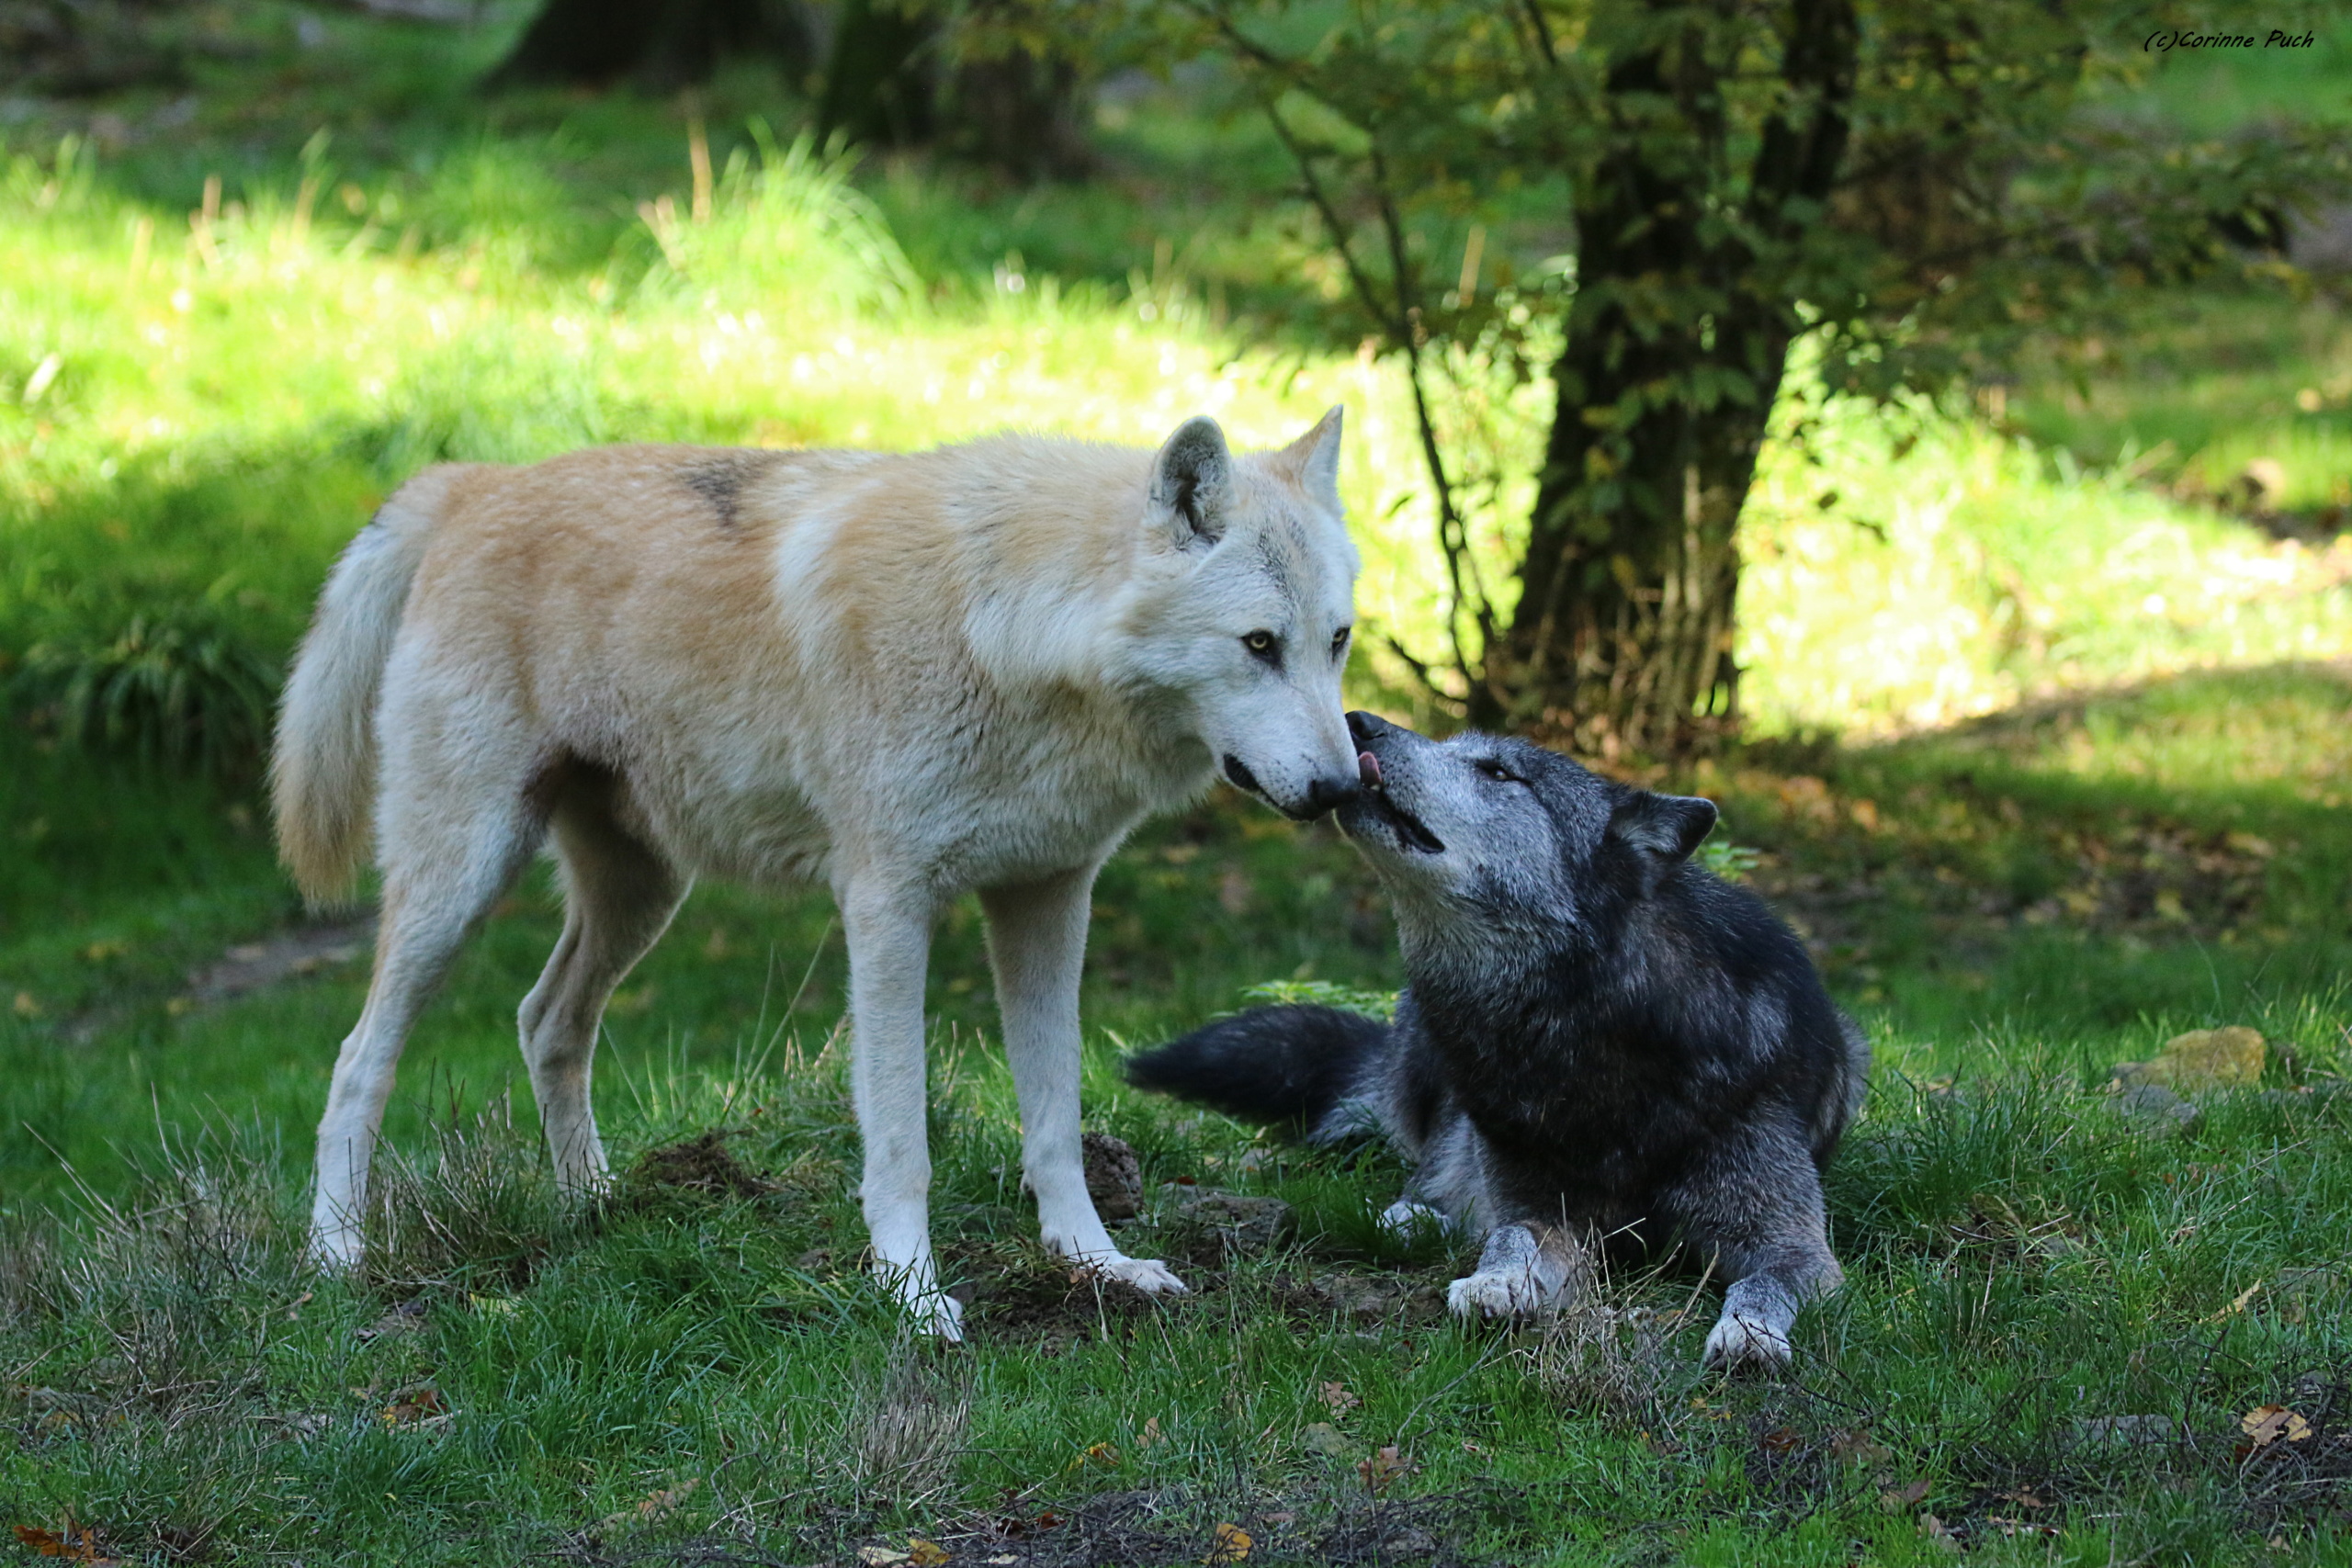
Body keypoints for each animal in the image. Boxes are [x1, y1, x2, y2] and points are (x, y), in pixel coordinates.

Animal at [271, 411, 1363, 1338]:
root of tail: (473, 481)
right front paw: (914, 1298)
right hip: (461, 878)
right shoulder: (886, 909)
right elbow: (901, 1142)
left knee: (546, 1021)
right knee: (357, 1059)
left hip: (639, 897)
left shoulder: (1049, 898)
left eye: (1337, 641)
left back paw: (594, 1207)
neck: (1009, 624)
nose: (1343, 788)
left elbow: (1054, 1121)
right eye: (1257, 644)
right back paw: (336, 1257)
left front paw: (1096, 1266)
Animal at [1126, 712, 1868, 1370]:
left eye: (1499, 771)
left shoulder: (1791, 1244)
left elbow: (1761, 1282)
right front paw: (1497, 1282)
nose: (1357, 720)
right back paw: (1420, 1218)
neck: (1583, 1035)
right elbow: (1510, 1235)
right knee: (1430, 1175)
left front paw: (1748, 1334)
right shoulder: (1545, 1213)